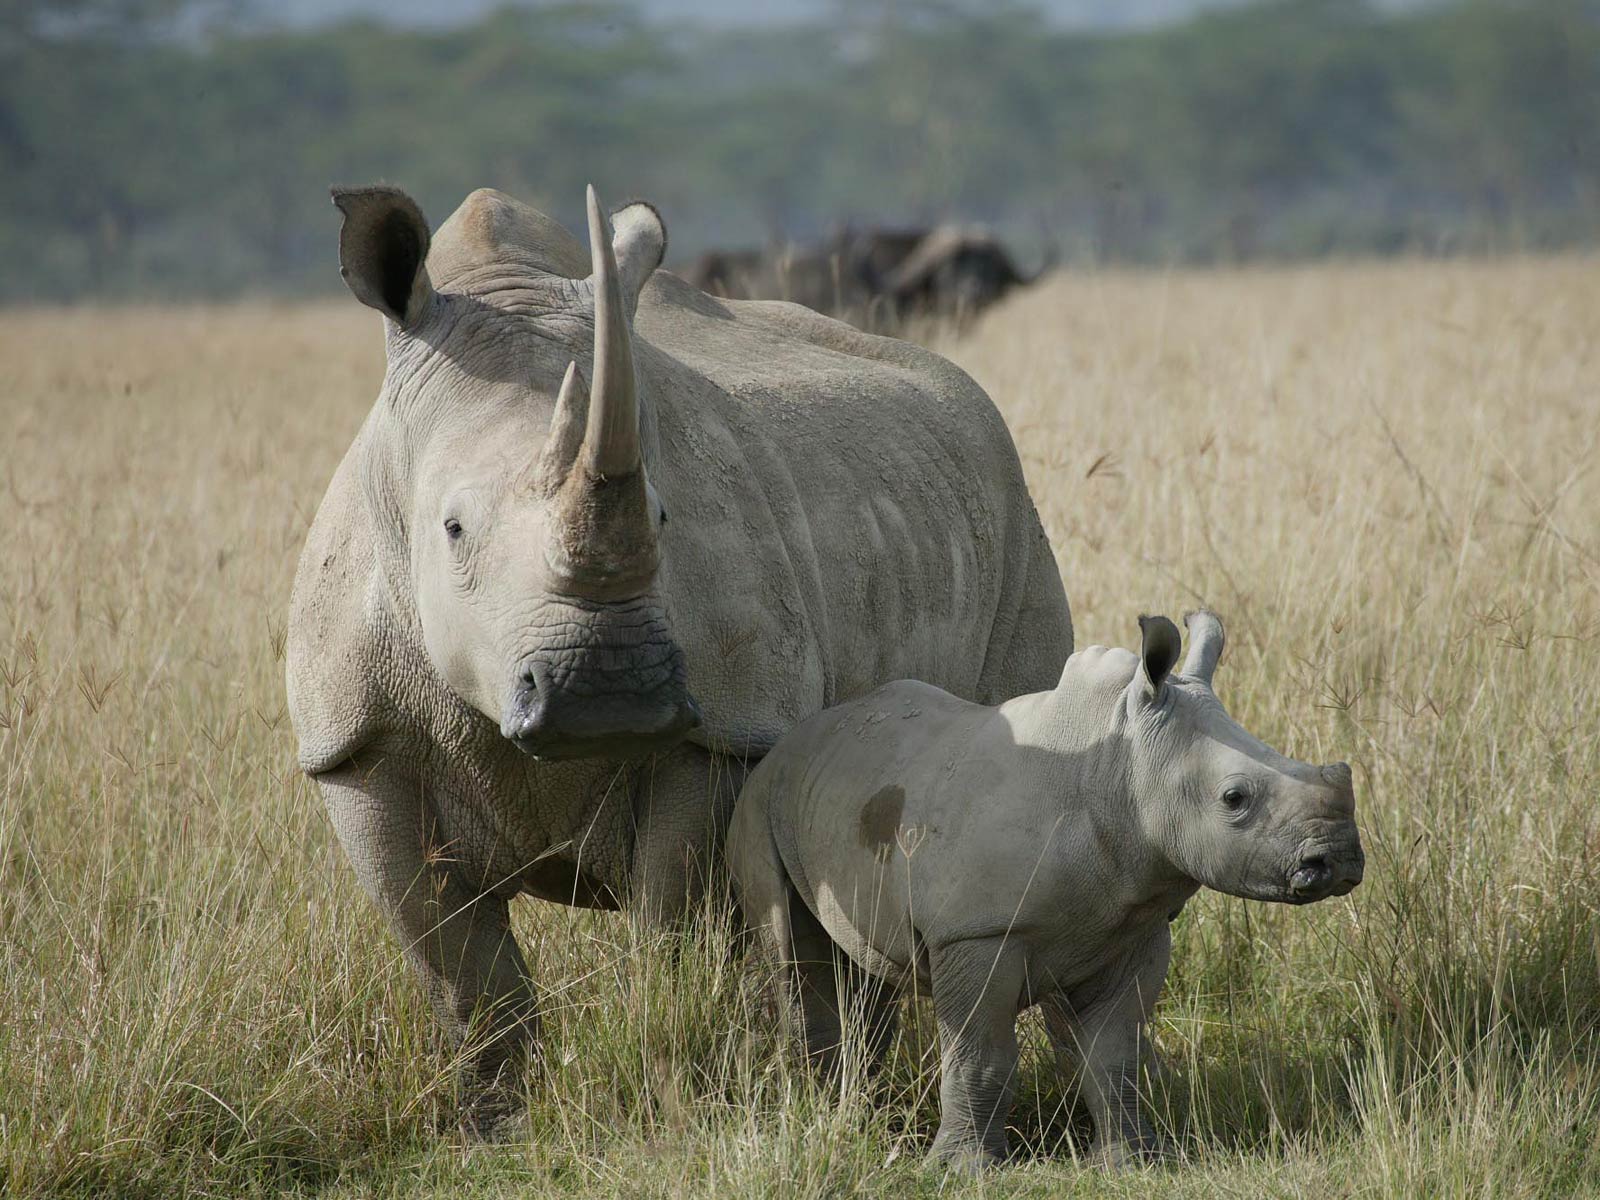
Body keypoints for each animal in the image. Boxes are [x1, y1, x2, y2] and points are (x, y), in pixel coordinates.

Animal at [286, 183, 1072, 1126]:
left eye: (663, 517)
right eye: (452, 529)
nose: (608, 695)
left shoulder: (724, 725)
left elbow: (670, 921)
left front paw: (671, 1079)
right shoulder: (355, 743)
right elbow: (455, 964)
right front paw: (494, 1123)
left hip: (1012, 513)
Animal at [728, 610, 1363, 1170]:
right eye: (1235, 799)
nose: (1340, 861)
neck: (1116, 769)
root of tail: (794, 738)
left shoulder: (1134, 926)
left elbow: (1114, 1057)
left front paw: (1133, 1161)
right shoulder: (976, 933)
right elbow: (982, 1055)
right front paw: (964, 1170)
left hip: (847, 798)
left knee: (866, 969)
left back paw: (854, 1113)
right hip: (759, 797)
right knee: (793, 954)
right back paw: (822, 1116)